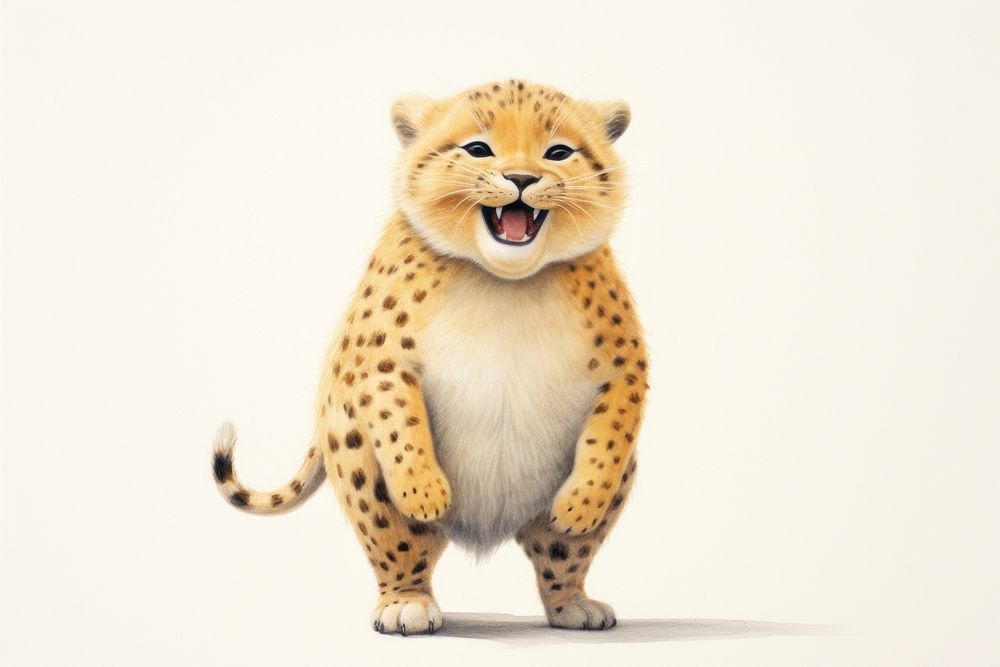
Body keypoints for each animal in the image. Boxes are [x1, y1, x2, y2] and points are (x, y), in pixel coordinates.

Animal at [212, 79, 649, 636]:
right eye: (478, 149)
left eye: (558, 152)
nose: (521, 178)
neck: (504, 282)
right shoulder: (379, 363)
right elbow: (400, 426)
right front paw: (422, 489)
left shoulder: (625, 368)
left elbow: (610, 436)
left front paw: (581, 502)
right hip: (355, 451)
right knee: (404, 547)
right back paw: (407, 604)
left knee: (558, 553)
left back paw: (573, 603)